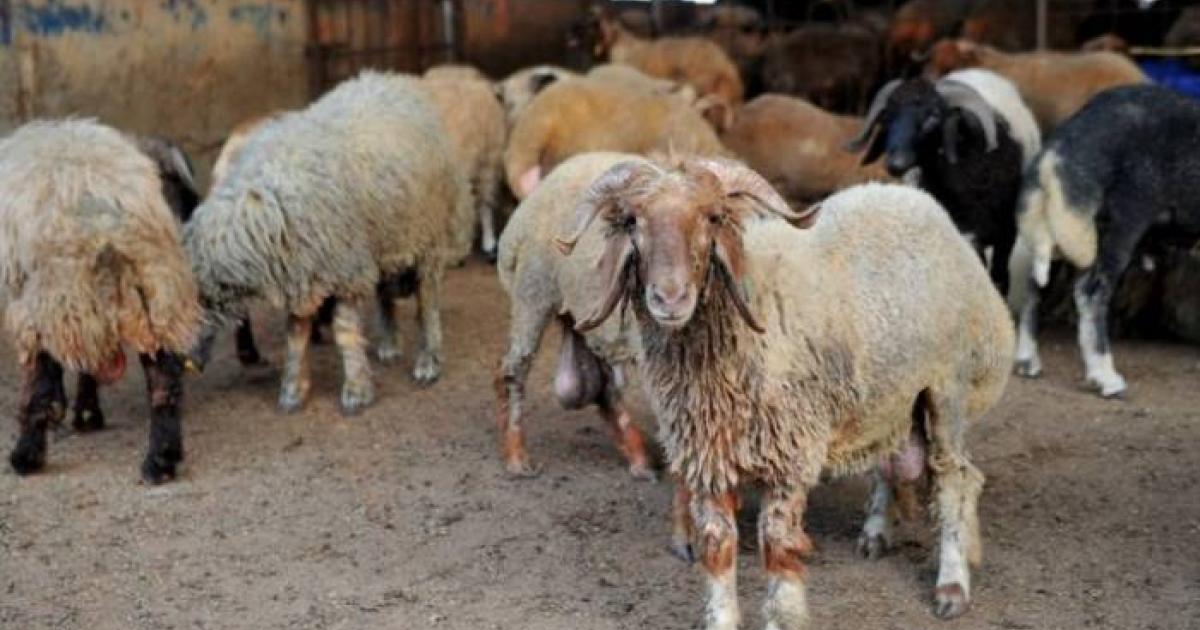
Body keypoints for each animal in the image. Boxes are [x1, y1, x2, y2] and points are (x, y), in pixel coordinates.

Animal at [0, 119, 201, 482]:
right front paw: (85, 412)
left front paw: (67, 410)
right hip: (152, 286)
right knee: (163, 377)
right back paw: (161, 459)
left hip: (58, 290)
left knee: (40, 377)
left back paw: (27, 455)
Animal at [184, 71, 473, 415]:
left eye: (200, 297)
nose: (187, 361)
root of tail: (391, 79)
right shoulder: (303, 271)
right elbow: (295, 335)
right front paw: (293, 390)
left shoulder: (344, 270)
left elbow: (345, 333)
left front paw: (356, 391)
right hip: (382, 236)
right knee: (385, 292)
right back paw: (390, 344)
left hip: (426, 234)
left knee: (427, 300)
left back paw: (428, 361)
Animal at [556, 158, 1013, 628]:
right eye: (632, 221)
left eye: (714, 217)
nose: (669, 297)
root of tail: (920, 201)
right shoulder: (710, 455)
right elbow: (717, 547)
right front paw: (722, 617)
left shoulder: (789, 454)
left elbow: (777, 550)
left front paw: (782, 615)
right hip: (888, 395)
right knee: (893, 461)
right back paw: (875, 532)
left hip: (948, 388)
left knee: (955, 480)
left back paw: (952, 585)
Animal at [847, 69, 1041, 292]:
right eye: (887, 117)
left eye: (934, 116)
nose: (896, 163)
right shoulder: (964, 236)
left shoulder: (1006, 234)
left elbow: (1000, 278)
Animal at [1009, 84, 1200, 398]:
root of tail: (1058, 153)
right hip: (1120, 225)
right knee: (1091, 292)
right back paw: (1105, 377)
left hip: (1060, 231)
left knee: (1035, 288)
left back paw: (1027, 361)